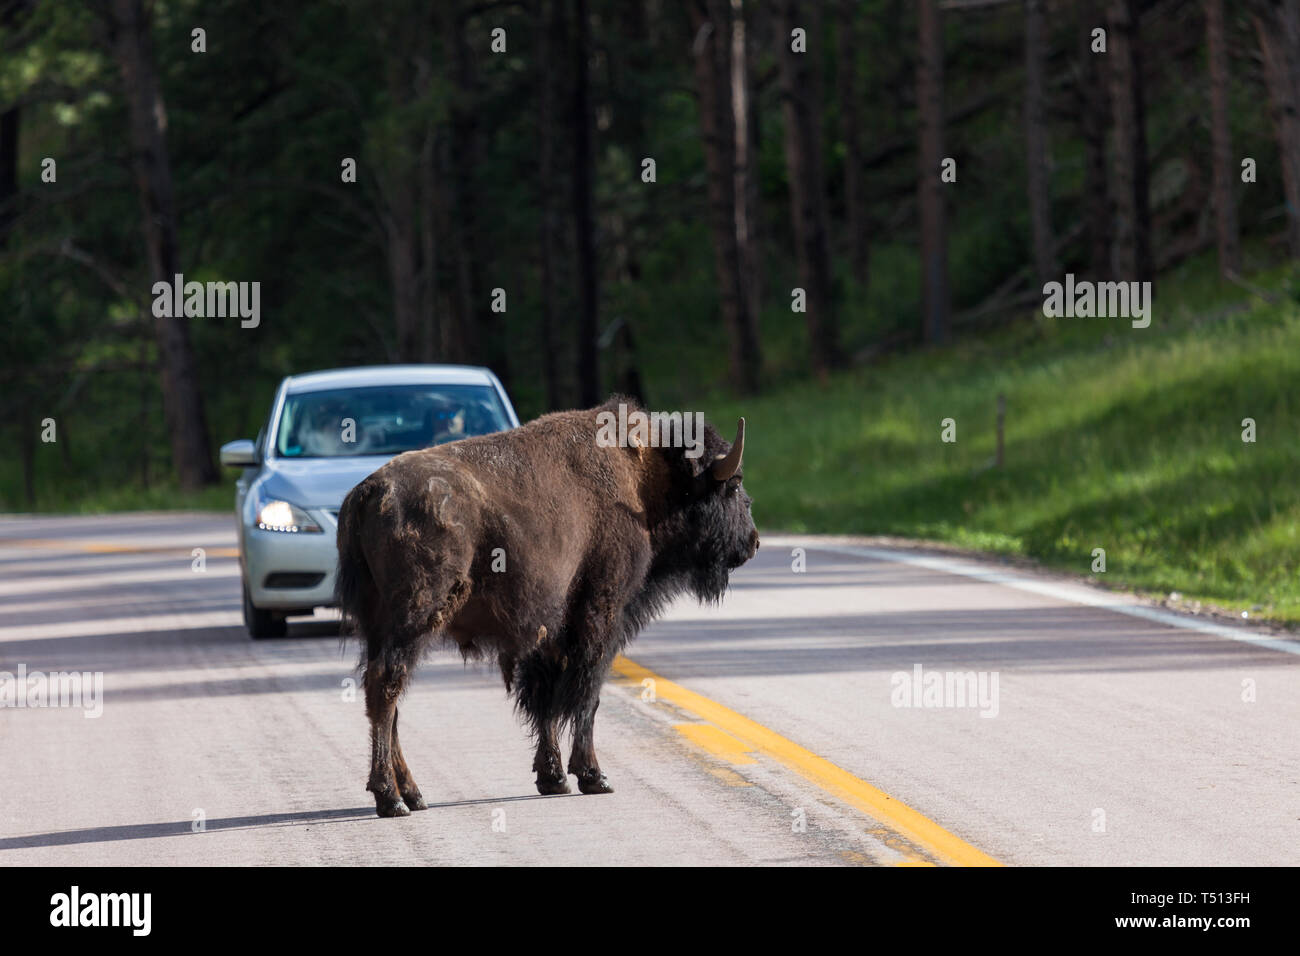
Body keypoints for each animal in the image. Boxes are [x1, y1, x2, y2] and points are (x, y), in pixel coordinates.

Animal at [336, 397, 758, 817]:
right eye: (735, 484)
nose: (752, 541)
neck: (647, 479)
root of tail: (369, 492)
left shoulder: (551, 629)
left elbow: (546, 696)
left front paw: (552, 778)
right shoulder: (602, 613)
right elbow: (586, 693)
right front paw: (593, 777)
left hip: (378, 627)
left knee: (388, 699)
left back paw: (412, 794)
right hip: (415, 618)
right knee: (386, 689)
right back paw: (391, 798)